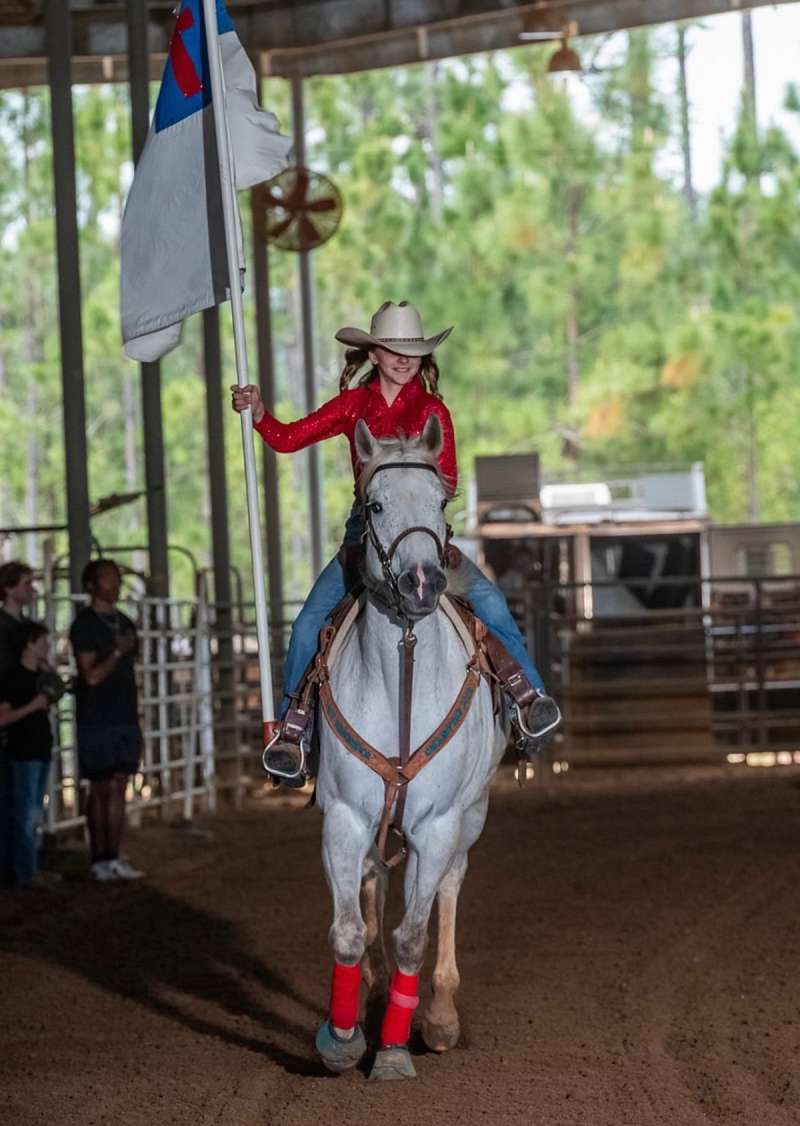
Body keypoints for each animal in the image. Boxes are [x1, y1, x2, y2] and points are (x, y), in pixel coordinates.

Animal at [313, 414, 508, 1081]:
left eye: (441, 502)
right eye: (373, 503)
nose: (422, 581)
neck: (404, 663)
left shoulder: (438, 823)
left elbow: (412, 934)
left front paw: (395, 1049)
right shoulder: (345, 817)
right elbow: (349, 929)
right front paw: (343, 1037)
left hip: (470, 816)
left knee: (449, 886)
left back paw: (440, 1017)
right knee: (375, 881)